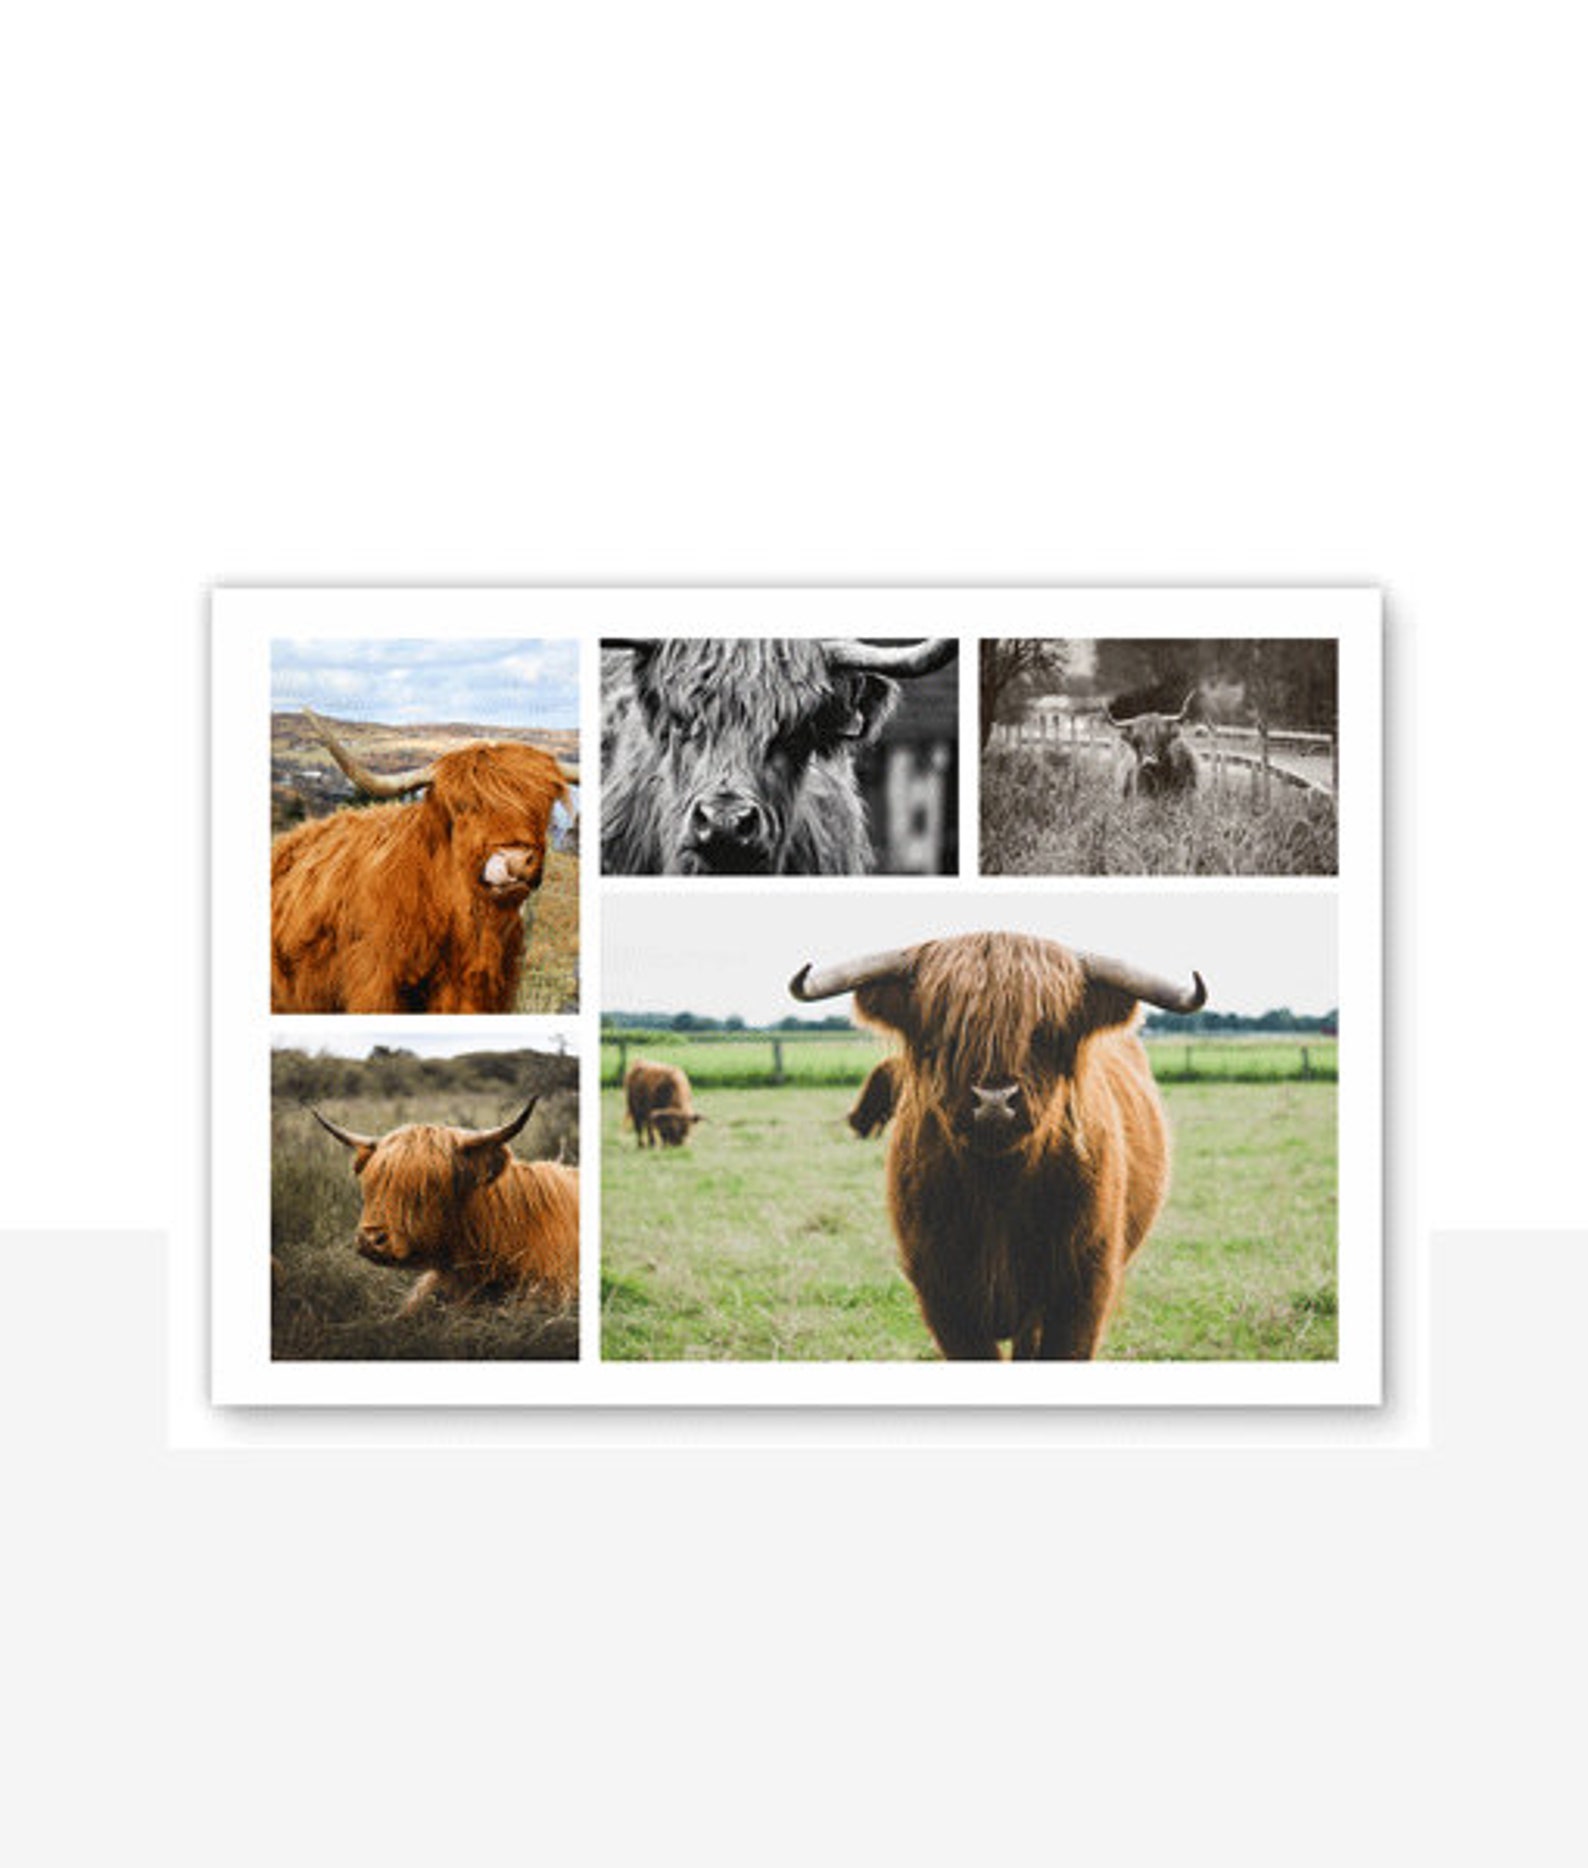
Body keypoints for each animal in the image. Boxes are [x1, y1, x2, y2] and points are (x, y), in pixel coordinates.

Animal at [789, 932, 1206, 1360]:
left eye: (1044, 1030)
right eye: (947, 1031)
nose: (994, 1099)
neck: (997, 1185)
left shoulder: (1084, 1288)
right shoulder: (941, 1294)